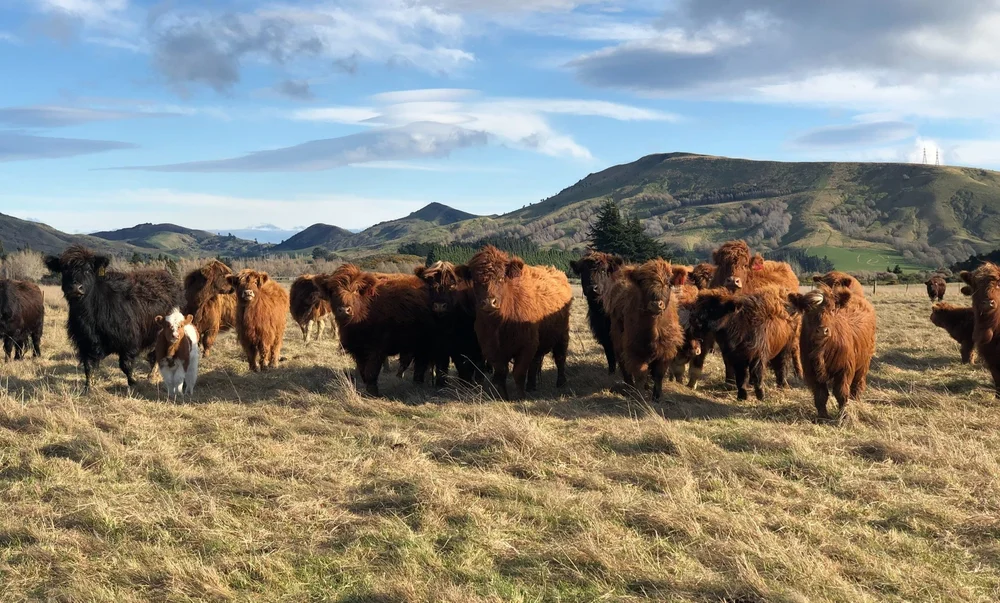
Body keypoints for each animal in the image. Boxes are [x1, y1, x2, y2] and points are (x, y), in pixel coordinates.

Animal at [45, 245, 181, 393]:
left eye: (88, 269)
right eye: (64, 270)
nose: (76, 287)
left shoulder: (129, 341)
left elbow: (126, 365)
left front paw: (133, 383)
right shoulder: (85, 342)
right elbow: (88, 367)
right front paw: (88, 387)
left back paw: (153, 375)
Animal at [315, 264, 436, 396]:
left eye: (356, 290)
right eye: (333, 291)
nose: (344, 310)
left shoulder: (376, 349)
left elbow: (371, 371)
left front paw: (373, 393)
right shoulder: (358, 350)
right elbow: (363, 371)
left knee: (422, 363)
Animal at [460, 246, 572, 400]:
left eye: (501, 278)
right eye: (476, 281)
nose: (489, 302)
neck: (499, 324)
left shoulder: (527, 345)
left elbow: (519, 372)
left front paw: (520, 396)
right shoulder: (491, 348)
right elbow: (501, 373)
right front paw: (503, 396)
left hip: (562, 334)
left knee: (560, 357)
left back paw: (561, 382)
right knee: (535, 362)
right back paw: (531, 386)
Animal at [599, 259, 687, 400]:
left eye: (668, 283)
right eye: (642, 283)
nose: (656, 304)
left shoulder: (666, 351)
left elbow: (658, 374)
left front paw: (657, 396)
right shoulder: (635, 351)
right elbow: (640, 374)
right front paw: (639, 395)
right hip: (618, 341)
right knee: (625, 367)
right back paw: (629, 387)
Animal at [787, 284, 876, 421]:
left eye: (832, 309)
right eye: (808, 310)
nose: (822, 330)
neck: (822, 350)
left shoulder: (845, 369)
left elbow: (841, 393)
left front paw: (844, 416)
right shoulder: (811, 371)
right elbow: (820, 395)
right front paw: (823, 417)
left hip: (864, 362)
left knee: (857, 385)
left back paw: (856, 402)